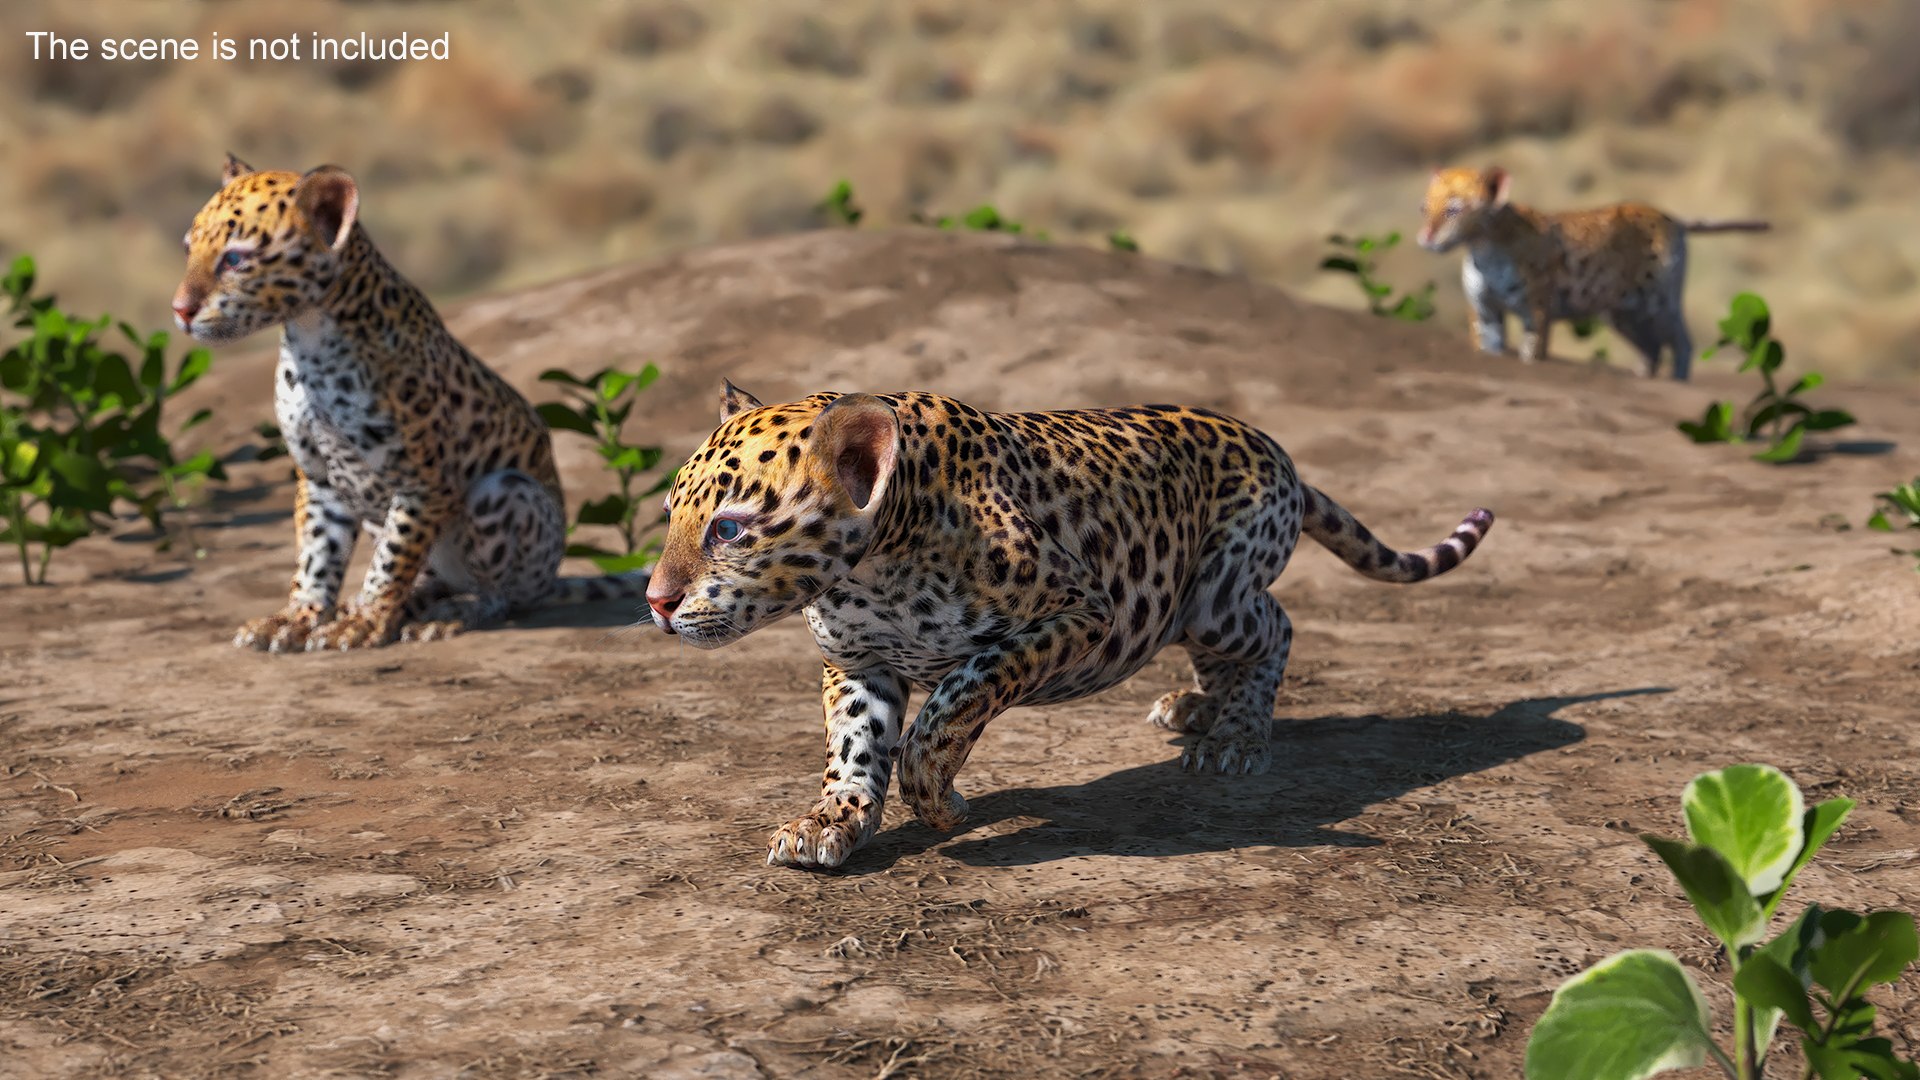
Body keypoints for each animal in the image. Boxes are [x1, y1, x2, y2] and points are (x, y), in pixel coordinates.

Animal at [171, 154, 646, 652]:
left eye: (235, 259)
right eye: (188, 249)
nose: (179, 310)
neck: (309, 337)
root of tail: (550, 578)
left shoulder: (424, 482)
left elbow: (393, 558)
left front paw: (365, 623)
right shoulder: (317, 478)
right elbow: (317, 555)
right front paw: (299, 617)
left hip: (504, 493)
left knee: (500, 594)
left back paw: (451, 613)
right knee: (431, 579)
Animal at [645, 382, 1495, 869]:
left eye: (728, 528)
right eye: (670, 514)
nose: (654, 602)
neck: (874, 565)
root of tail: (1274, 446)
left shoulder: (1080, 614)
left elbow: (953, 701)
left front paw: (941, 799)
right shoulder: (857, 662)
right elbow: (854, 747)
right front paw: (832, 823)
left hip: (1216, 596)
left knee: (1276, 627)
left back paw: (1235, 738)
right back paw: (1196, 709)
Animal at [1416, 165, 1769, 381]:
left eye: (1453, 209)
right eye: (1424, 208)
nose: (1425, 237)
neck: (1482, 249)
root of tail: (1673, 218)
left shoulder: (1536, 311)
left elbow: (1532, 352)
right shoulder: (1485, 312)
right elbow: (1489, 348)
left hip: (1660, 304)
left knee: (1681, 342)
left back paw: (1677, 381)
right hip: (1624, 314)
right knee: (1652, 348)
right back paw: (1642, 376)